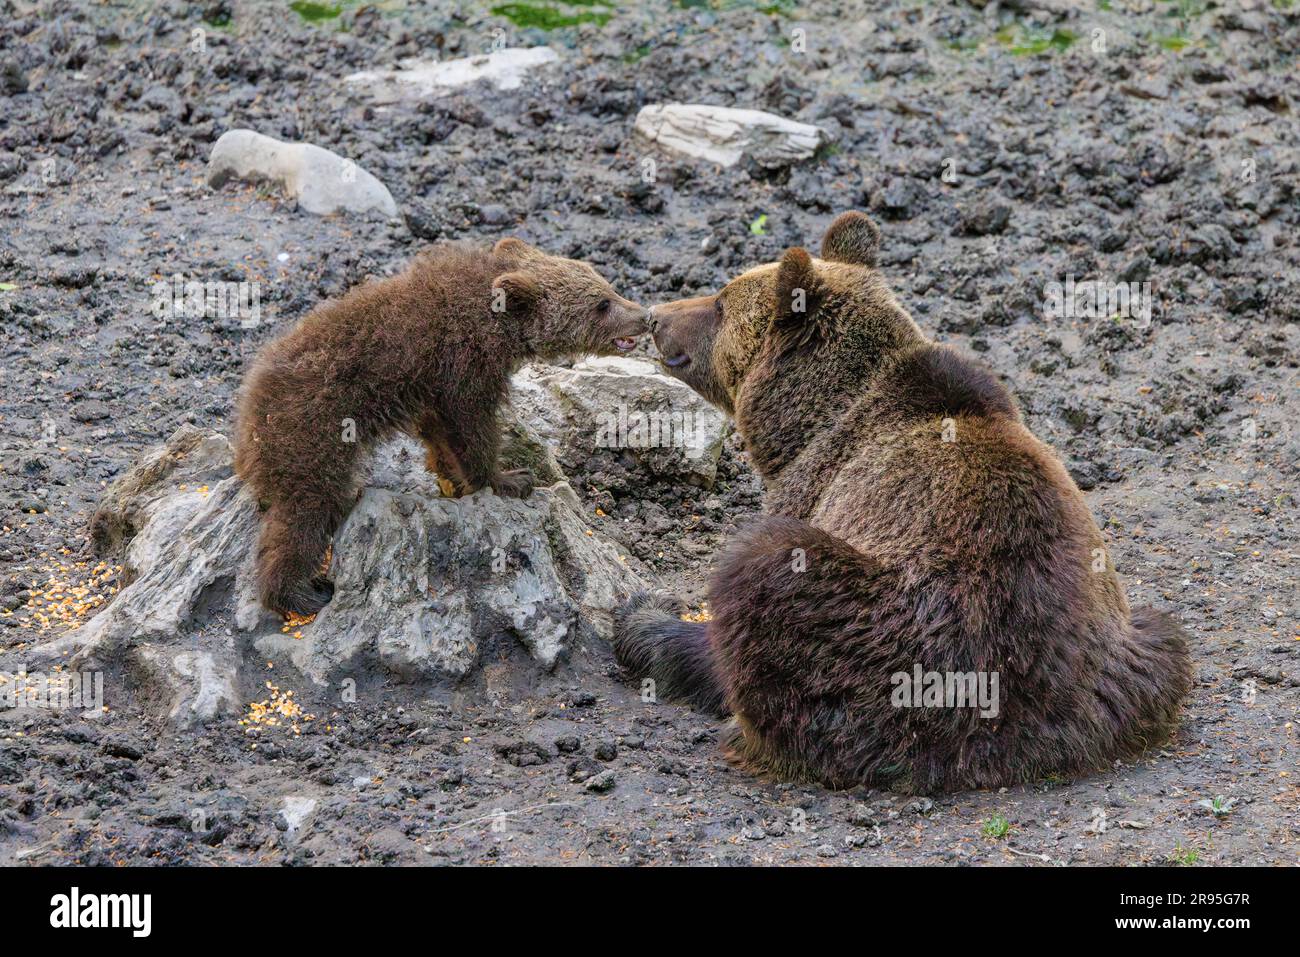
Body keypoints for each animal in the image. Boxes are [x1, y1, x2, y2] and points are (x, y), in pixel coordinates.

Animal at [234, 237, 647, 617]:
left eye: (608, 286)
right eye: (602, 304)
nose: (643, 315)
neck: (500, 325)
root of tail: (249, 407)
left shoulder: (434, 384)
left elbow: (441, 431)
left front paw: (453, 476)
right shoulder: (465, 361)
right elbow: (471, 424)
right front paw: (509, 477)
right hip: (310, 431)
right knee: (305, 512)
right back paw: (301, 593)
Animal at [614, 211, 1192, 793]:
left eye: (720, 302)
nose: (657, 317)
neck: (807, 417)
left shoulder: (813, 485)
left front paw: (647, 618)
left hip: (889, 632)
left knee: (765, 576)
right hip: (1133, 652)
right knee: (1166, 636)